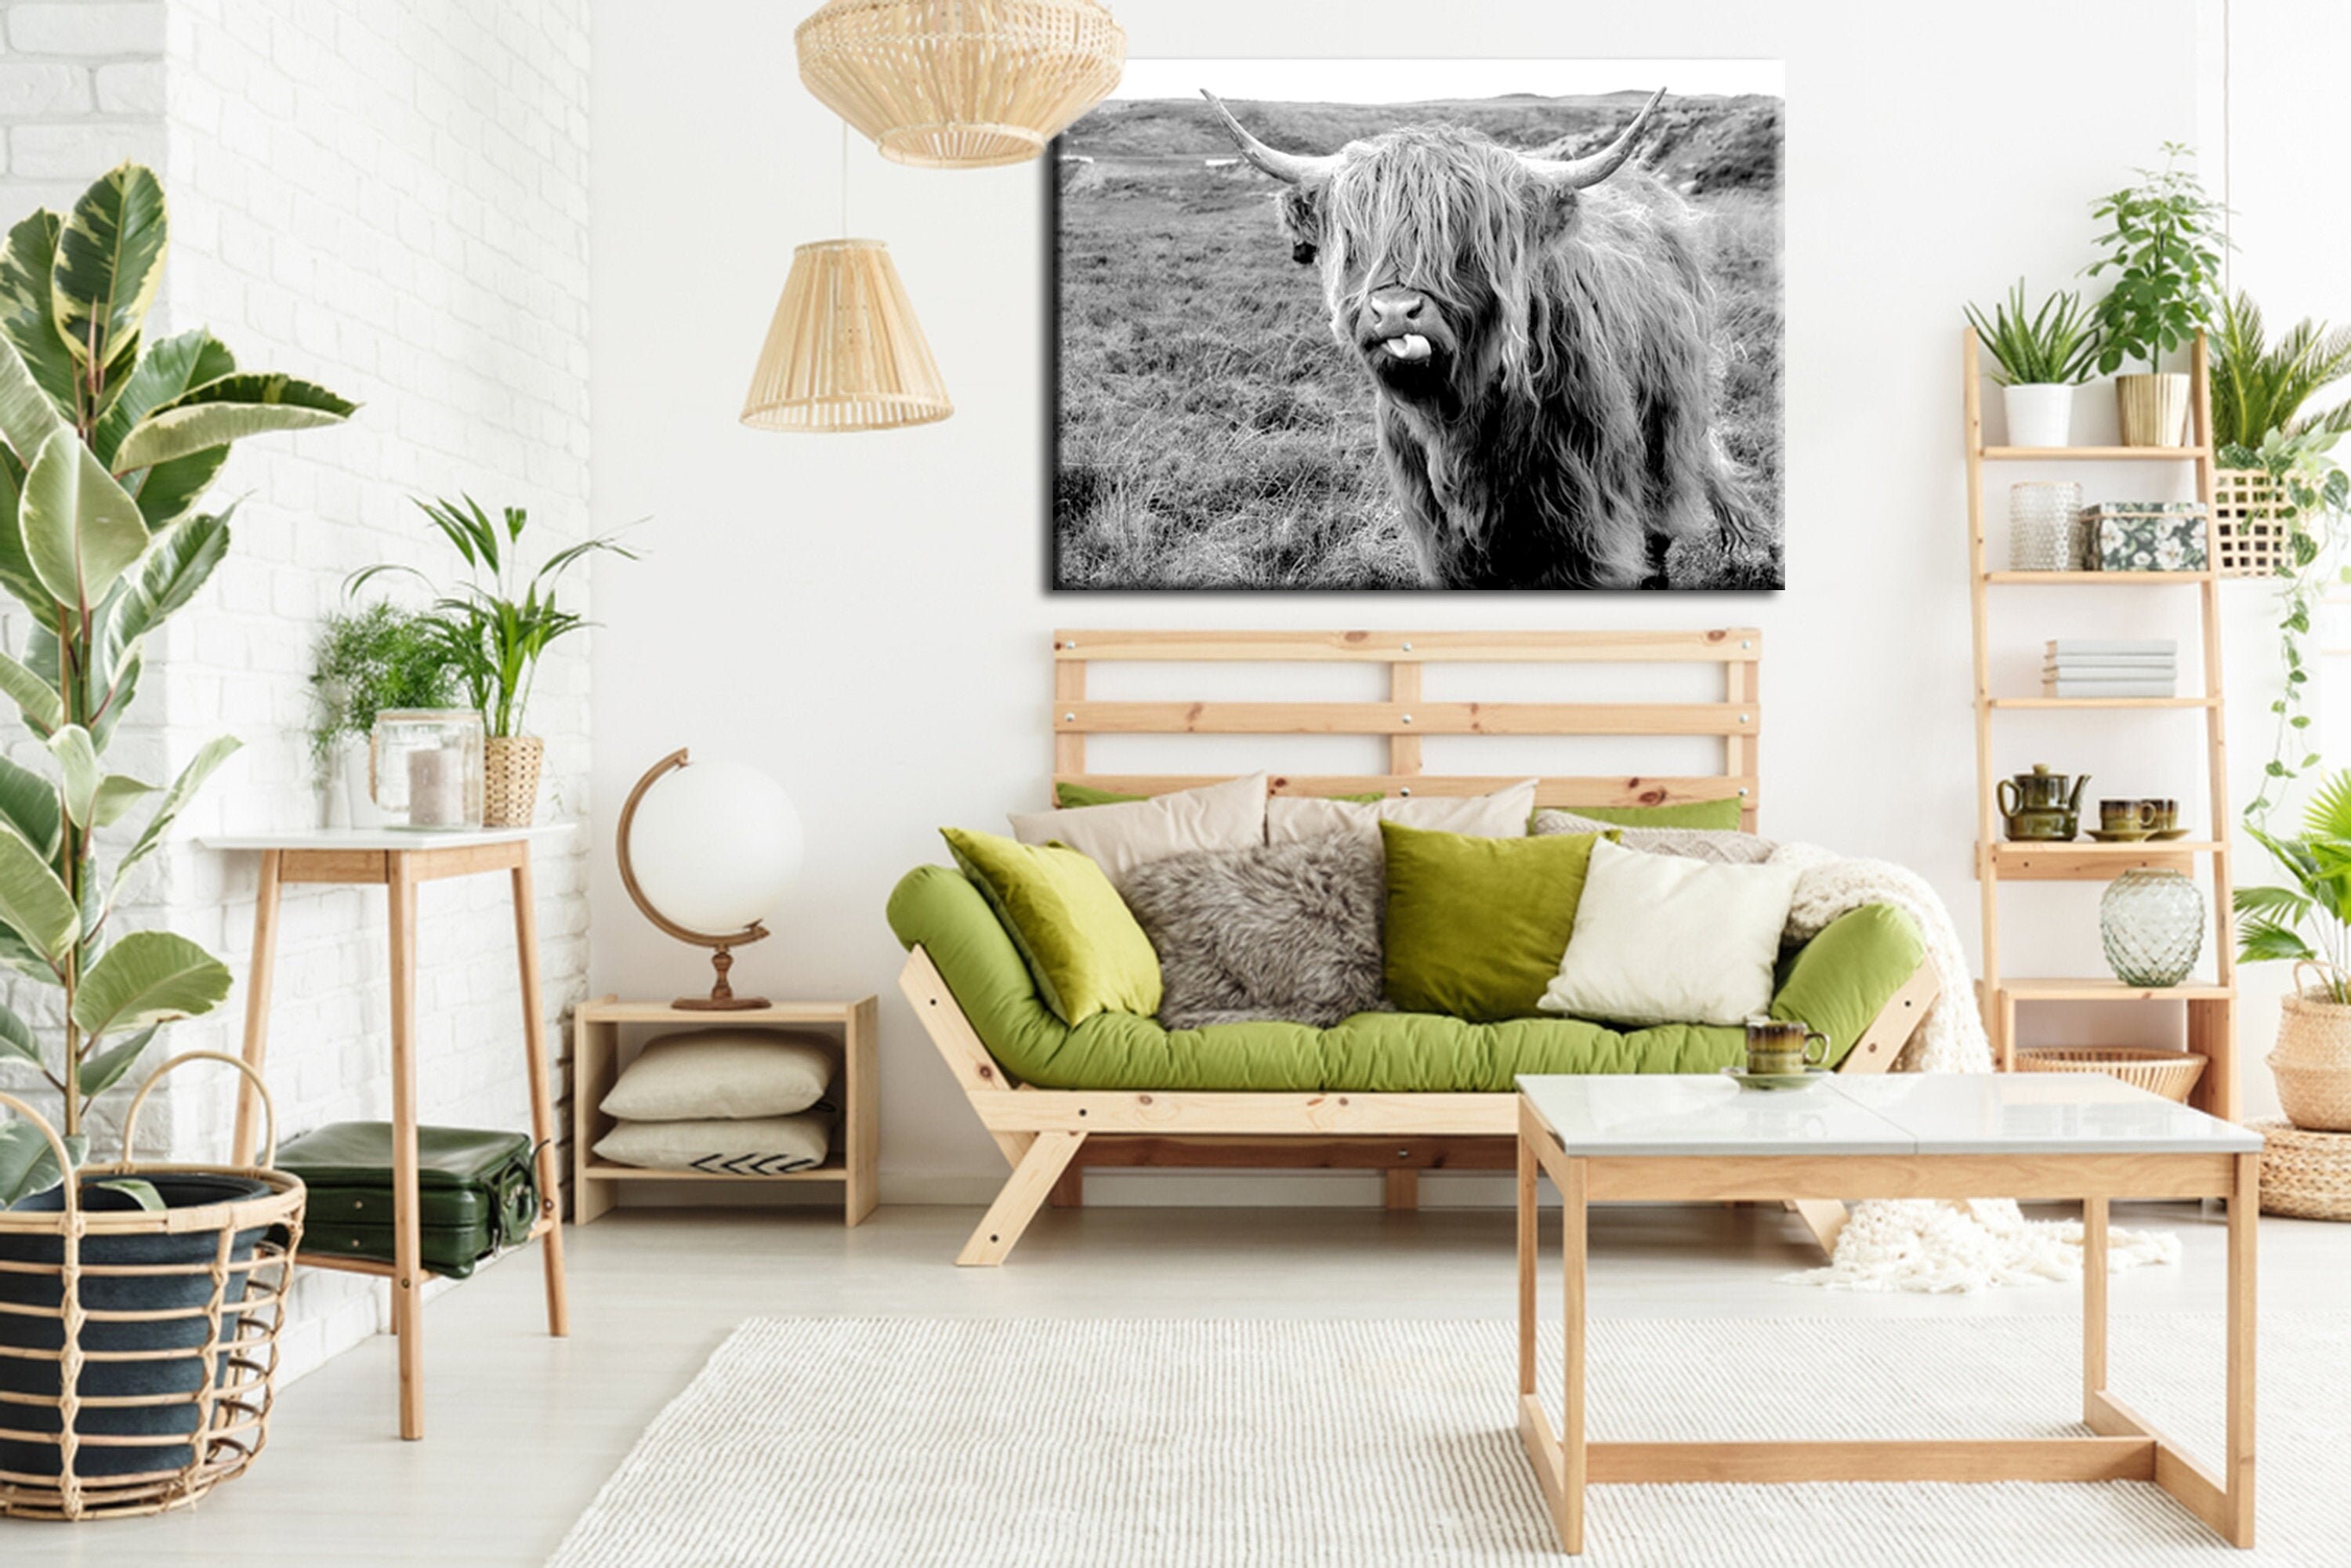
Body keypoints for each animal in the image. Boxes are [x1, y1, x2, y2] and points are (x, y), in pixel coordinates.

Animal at [1204, 89, 1761, 589]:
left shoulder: (1584, 524)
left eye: (1465, 242)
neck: (1460, 421)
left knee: (1659, 529)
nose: (1394, 313)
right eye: (1355, 242)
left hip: (1668, 434)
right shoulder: (1441, 537)